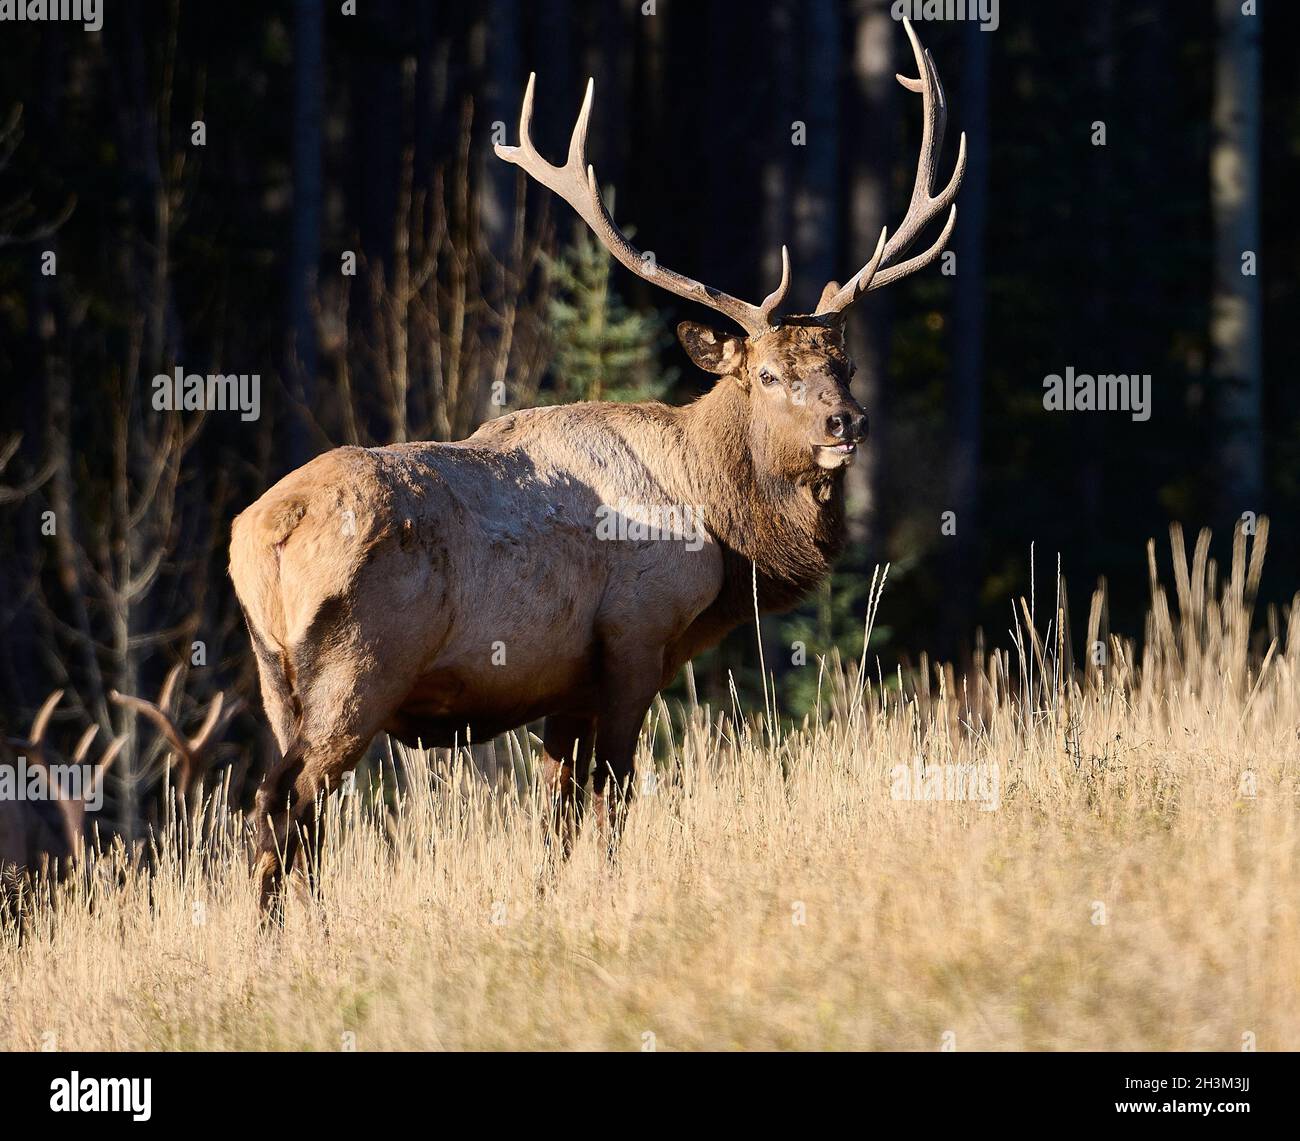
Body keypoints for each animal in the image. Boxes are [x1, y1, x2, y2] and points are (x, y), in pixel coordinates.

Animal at [230, 17, 964, 914]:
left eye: (845, 364)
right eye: (766, 374)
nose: (845, 422)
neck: (719, 525)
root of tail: (259, 536)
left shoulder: (566, 679)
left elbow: (557, 812)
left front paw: (547, 902)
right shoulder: (635, 635)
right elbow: (612, 794)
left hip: (274, 673)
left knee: (298, 812)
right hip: (358, 662)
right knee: (285, 799)